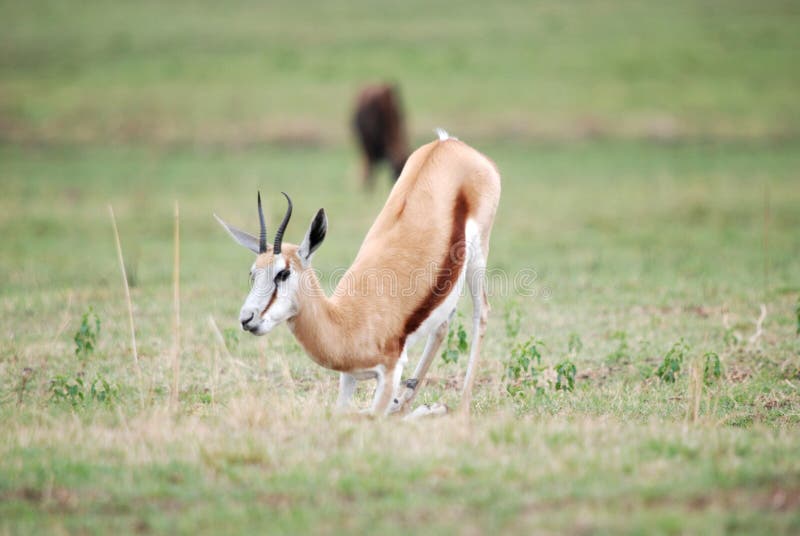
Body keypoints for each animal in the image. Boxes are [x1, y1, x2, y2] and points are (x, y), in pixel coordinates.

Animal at [215, 130, 500, 417]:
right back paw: (406, 402)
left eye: (283, 273)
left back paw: (459, 407)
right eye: (253, 274)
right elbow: (342, 413)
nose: (246, 319)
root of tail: (448, 143)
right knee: (442, 324)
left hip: (479, 255)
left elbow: (371, 417)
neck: (346, 322)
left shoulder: (390, 372)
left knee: (482, 312)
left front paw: (431, 409)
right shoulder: (349, 376)